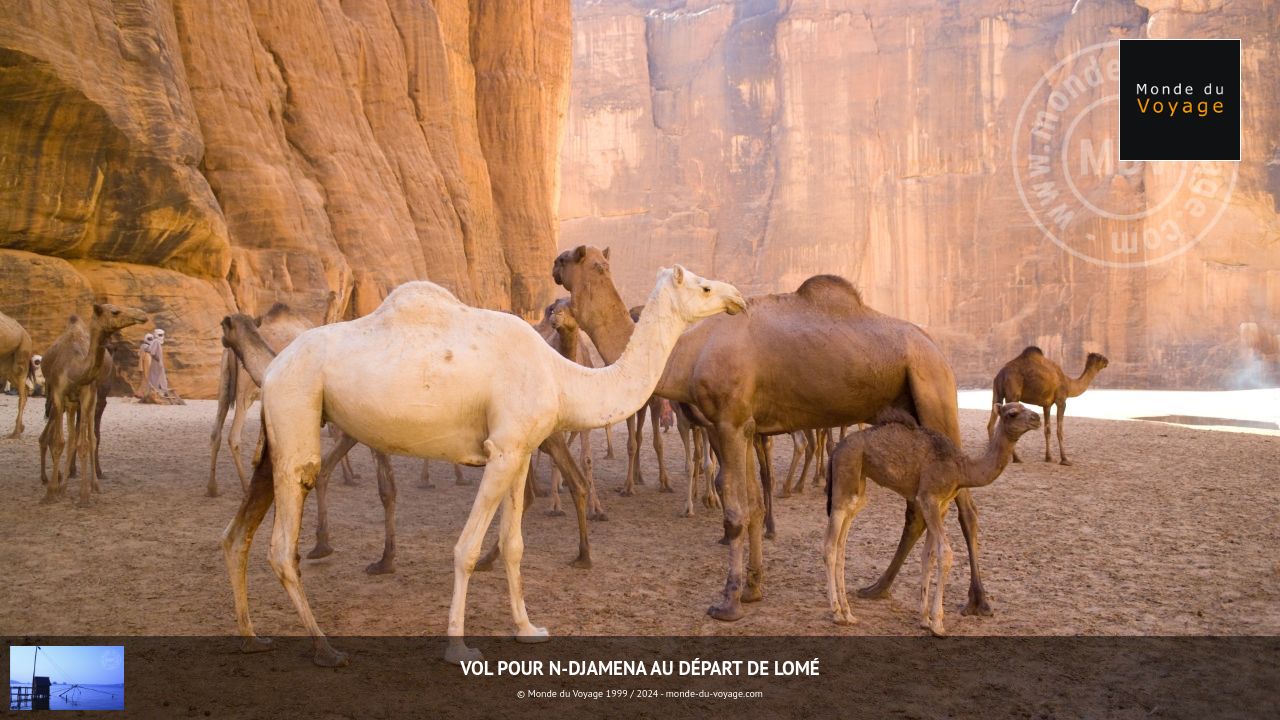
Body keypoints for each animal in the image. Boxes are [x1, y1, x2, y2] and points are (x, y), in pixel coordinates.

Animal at [0, 310, 34, 438]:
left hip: (21, 361)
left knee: (23, 394)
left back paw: (15, 433)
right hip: (6, 368)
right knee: (26, 389)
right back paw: (20, 429)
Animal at [39, 303, 146, 504]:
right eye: (115, 312)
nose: (142, 314)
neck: (74, 368)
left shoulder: (88, 394)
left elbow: (85, 443)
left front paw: (84, 496)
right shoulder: (58, 394)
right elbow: (59, 442)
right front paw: (51, 493)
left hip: (85, 402)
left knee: (88, 438)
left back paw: (90, 485)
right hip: (69, 403)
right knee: (68, 438)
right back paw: (61, 486)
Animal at [218, 266, 742, 666]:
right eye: (703, 287)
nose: (738, 297)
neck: (561, 375)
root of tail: (274, 366)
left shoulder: (520, 450)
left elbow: (513, 546)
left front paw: (528, 627)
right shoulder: (503, 449)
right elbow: (467, 548)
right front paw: (457, 646)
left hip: (278, 431)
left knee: (235, 534)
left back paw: (250, 637)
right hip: (296, 413)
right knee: (281, 544)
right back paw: (325, 648)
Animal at [555, 243, 983, 620]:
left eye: (576, 257)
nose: (555, 264)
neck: (688, 353)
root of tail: (938, 350)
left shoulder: (727, 422)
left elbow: (735, 512)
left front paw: (727, 602)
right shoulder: (744, 427)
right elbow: (755, 507)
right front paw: (753, 588)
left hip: (934, 395)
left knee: (965, 504)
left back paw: (977, 601)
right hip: (909, 414)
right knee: (916, 509)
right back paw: (878, 587)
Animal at [819, 404, 1039, 632]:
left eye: (1024, 406)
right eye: (1012, 413)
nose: (1037, 418)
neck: (961, 469)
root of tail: (836, 451)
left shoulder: (942, 506)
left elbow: (929, 556)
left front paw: (925, 619)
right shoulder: (928, 498)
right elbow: (946, 553)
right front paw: (938, 623)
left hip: (857, 485)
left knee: (842, 544)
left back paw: (849, 613)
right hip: (845, 475)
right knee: (830, 545)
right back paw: (837, 613)